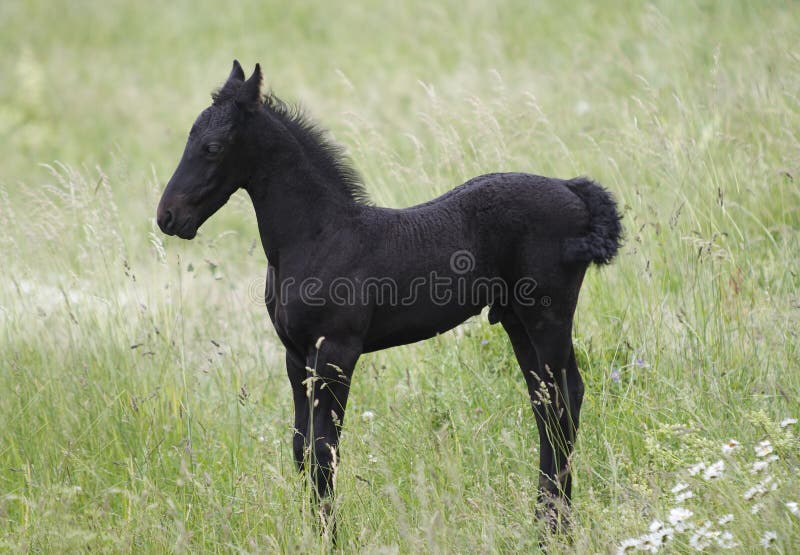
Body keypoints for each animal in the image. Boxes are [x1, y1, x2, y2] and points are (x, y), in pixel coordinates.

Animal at [156, 60, 621, 534]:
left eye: (213, 147)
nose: (168, 216)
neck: (319, 235)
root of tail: (572, 190)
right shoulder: (295, 355)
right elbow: (301, 449)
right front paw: (313, 534)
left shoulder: (336, 352)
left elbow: (324, 451)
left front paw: (332, 537)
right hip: (516, 320)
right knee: (547, 403)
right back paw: (546, 522)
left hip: (548, 314)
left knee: (563, 402)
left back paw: (555, 527)